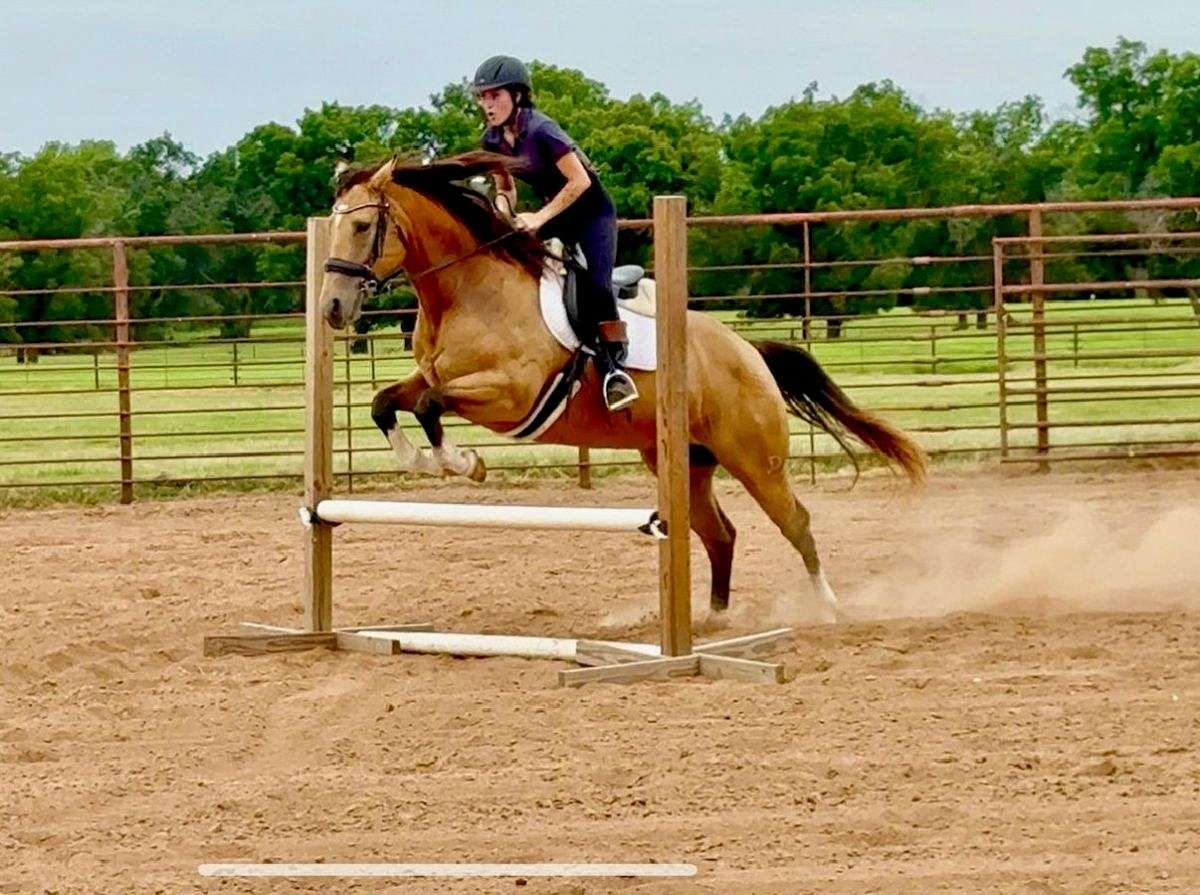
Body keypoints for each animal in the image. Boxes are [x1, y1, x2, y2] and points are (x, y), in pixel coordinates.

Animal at [318, 152, 927, 619]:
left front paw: (465, 463)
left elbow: (428, 405)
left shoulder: (510, 395)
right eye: (335, 225)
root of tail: (748, 352)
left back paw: (826, 609)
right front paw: (424, 461)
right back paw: (713, 619)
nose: (332, 309)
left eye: (363, 227)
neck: (470, 289)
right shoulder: (435, 375)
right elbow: (385, 403)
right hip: (685, 463)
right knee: (719, 534)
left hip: (757, 459)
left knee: (795, 522)